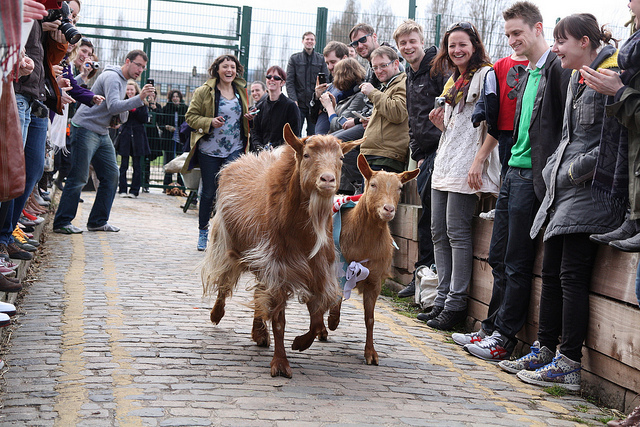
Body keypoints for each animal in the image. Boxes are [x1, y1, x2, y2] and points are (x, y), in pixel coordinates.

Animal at [201, 123, 361, 378]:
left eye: (341, 157)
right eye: (306, 155)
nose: (328, 180)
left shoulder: (317, 269)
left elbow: (317, 315)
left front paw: (300, 343)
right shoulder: (277, 267)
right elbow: (279, 319)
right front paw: (280, 363)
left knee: (258, 292)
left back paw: (259, 333)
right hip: (226, 245)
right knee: (225, 283)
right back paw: (217, 315)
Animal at [327, 154, 419, 365]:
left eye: (400, 188)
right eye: (374, 184)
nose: (388, 209)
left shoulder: (375, 281)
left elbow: (370, 318)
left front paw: (371, 353)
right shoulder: (338, 271)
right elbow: (335, 302)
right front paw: (332, 322)